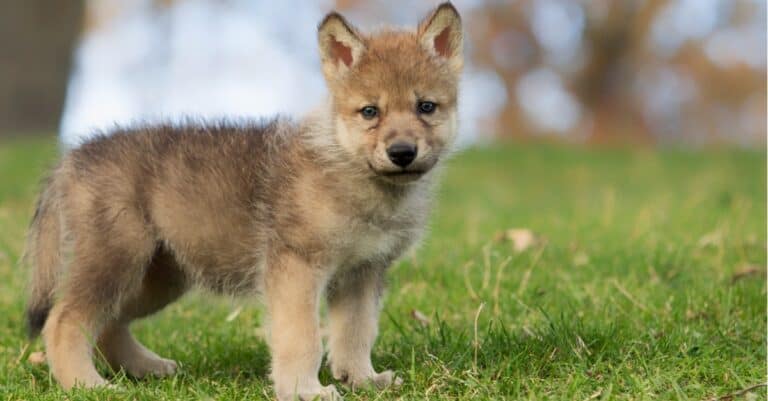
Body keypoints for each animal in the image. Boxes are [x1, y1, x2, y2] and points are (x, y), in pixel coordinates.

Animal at [24, 3, 462, 400]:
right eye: (370, 111)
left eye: (426, 106)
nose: (402, 152)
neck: (351, 171)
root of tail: (72, 159)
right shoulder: (297, 266)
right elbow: (303, 336)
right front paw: (304, 390)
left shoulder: (362, 272)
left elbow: (356, 333)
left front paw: (362, 380)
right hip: (118, 258)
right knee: (64, 320)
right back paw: (87, 384)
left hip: (160, 276)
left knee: (108, 324)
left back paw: (145, 369)